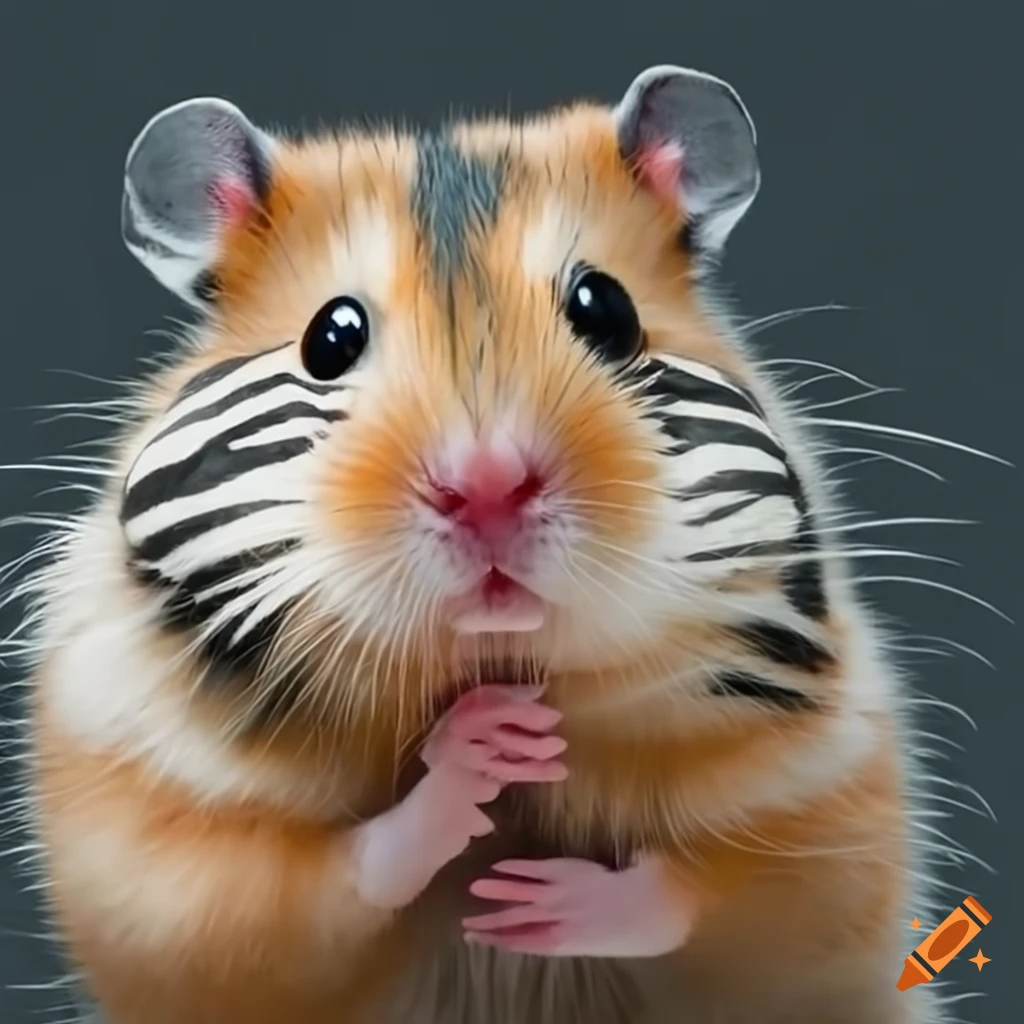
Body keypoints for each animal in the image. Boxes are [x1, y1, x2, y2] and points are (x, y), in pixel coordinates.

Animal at [14, 64, 956, 1023]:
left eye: (607, 311)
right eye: (330, 336)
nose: (489, 485)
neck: (489, 657)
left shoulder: (837, 788)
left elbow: (743, 896)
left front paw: (534, 893)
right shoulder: (136, 809)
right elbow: (295, 892)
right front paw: (489, 741)